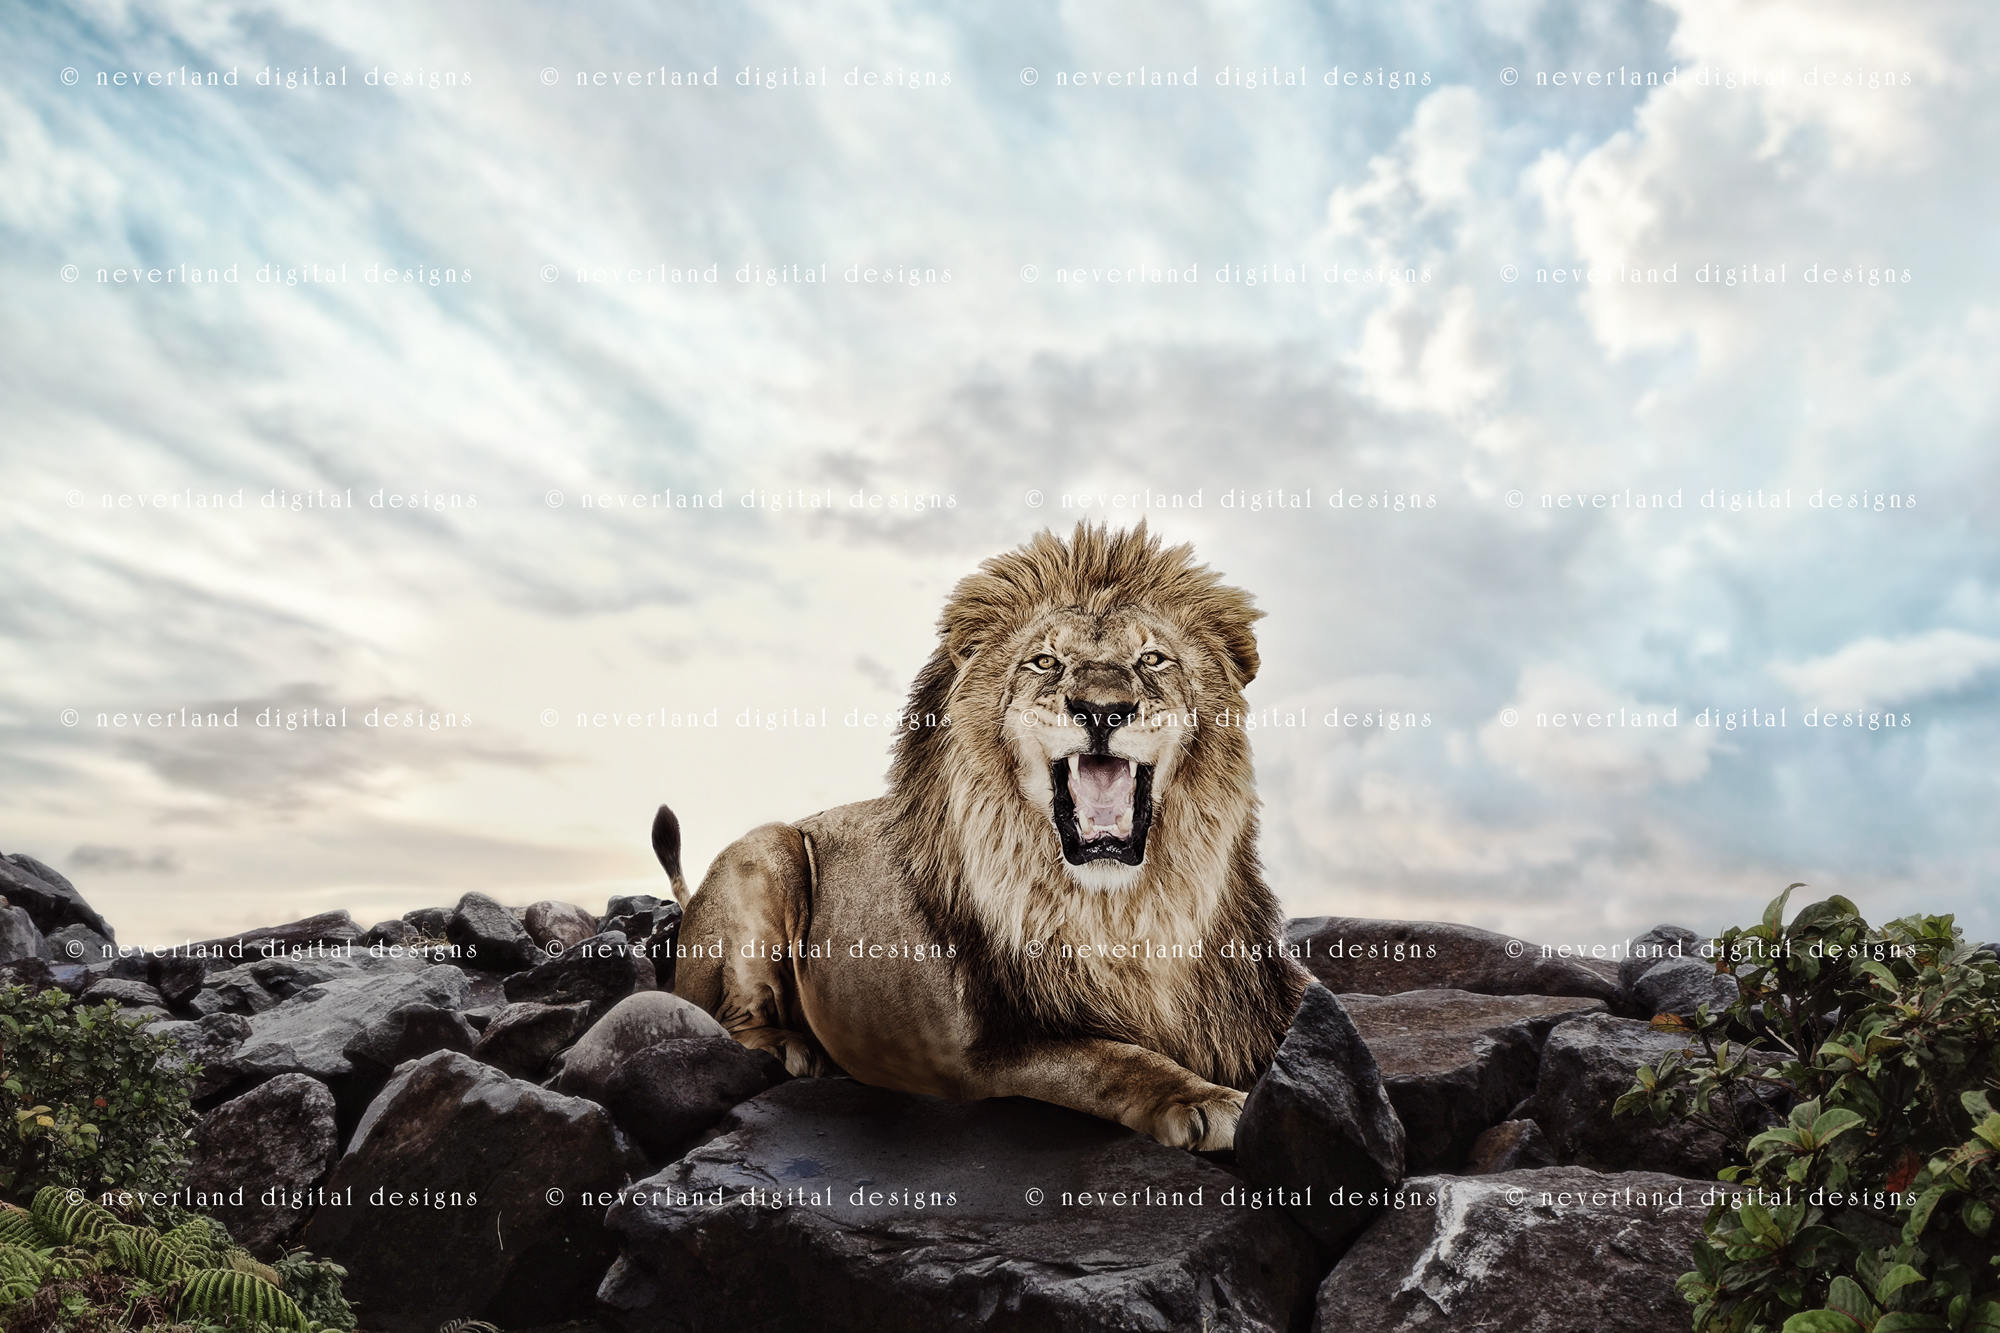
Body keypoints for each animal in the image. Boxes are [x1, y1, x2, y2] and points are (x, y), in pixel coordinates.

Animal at [656, 522, 1308, 1150]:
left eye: (1152, 658)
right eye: (1044, 662)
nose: (1102, 709)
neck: (1121, 909)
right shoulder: (986, 1050)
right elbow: (1114, 1059)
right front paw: (1205, 1100)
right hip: (767, 851)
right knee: (725, 1017)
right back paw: (794, 1047)